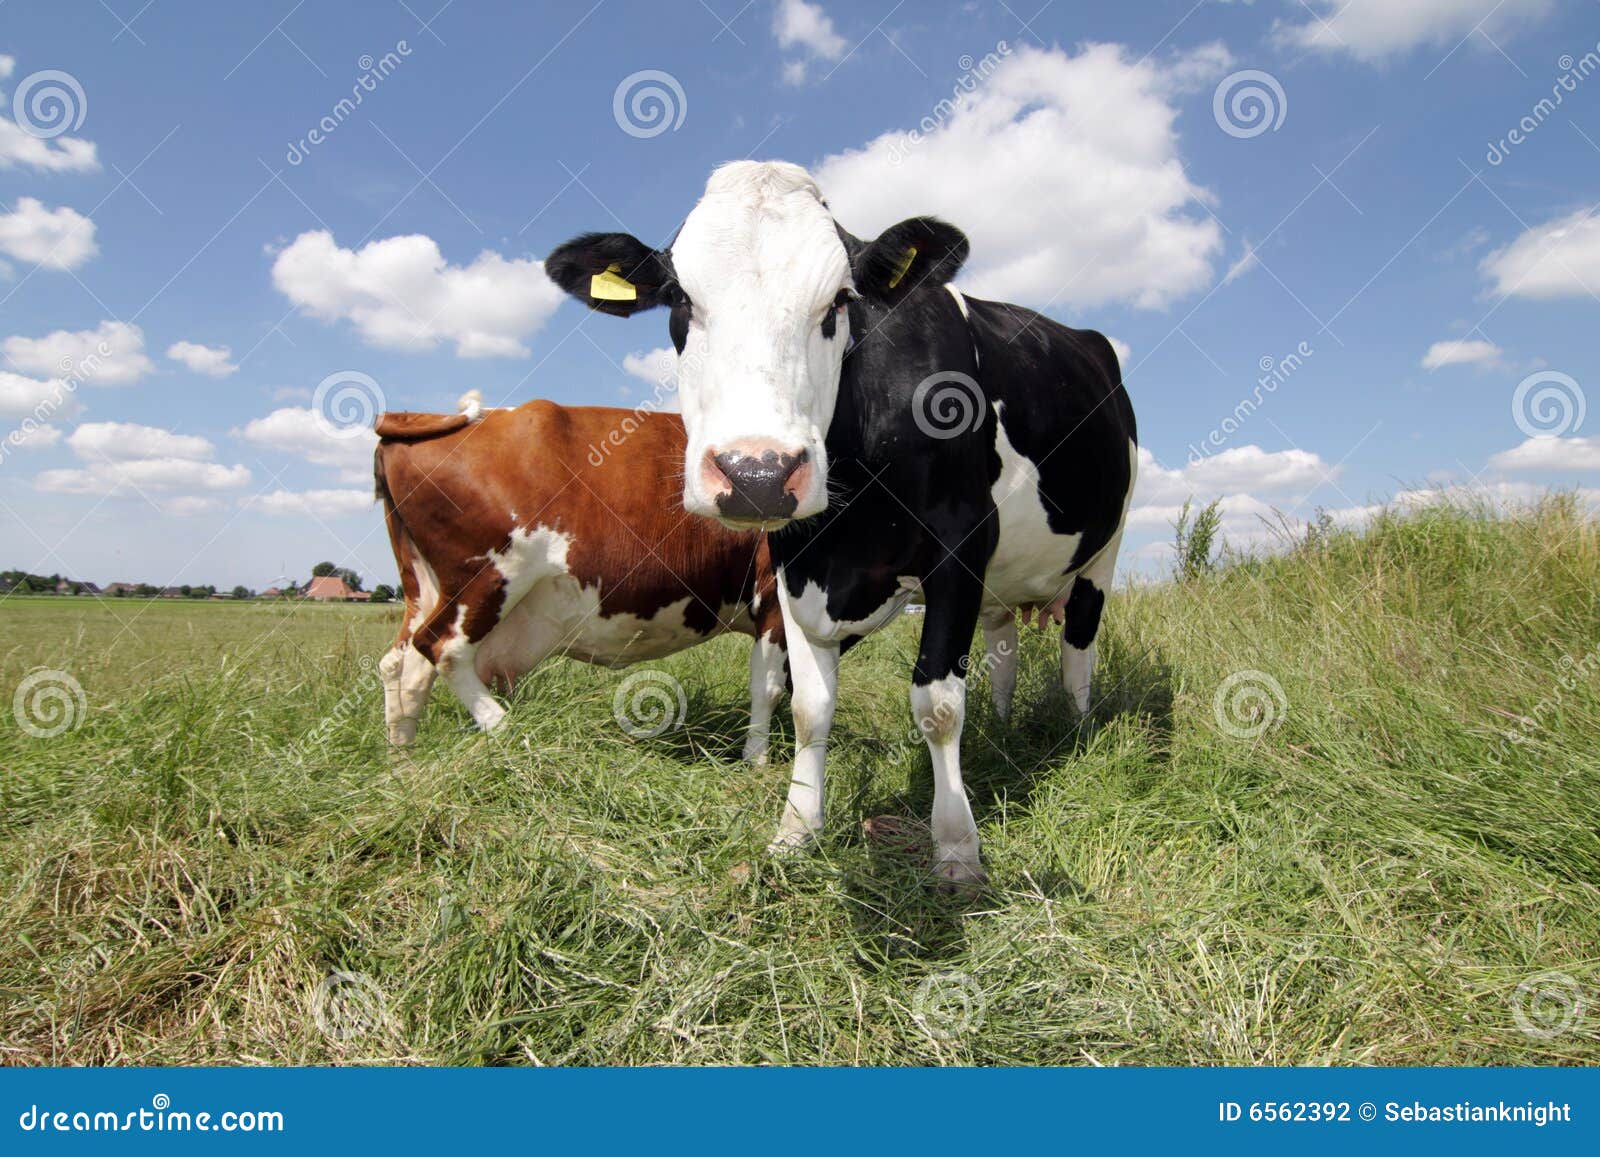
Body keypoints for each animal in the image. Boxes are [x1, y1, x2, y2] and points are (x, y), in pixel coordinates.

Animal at [372, 392, 788, 762]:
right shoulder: (773, 595)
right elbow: (769, 687)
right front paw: (757, 762)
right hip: (488, 578)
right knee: (443, 648)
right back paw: (511, 733)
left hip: (426, 586)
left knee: (402, 668)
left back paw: (403, 766)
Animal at [546, 161, 1137, 888]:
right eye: (680, 298)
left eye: (838, 302)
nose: (757, 473)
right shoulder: (798, 564)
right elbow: (808, 705)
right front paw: (796, 830)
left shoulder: (959, 545)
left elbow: (939, 704)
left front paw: (956, 848)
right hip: (1004, 581)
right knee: (1003, 650)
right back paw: (1001, 733)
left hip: (1104, 550)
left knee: (1078, 651)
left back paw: (1077, 734)